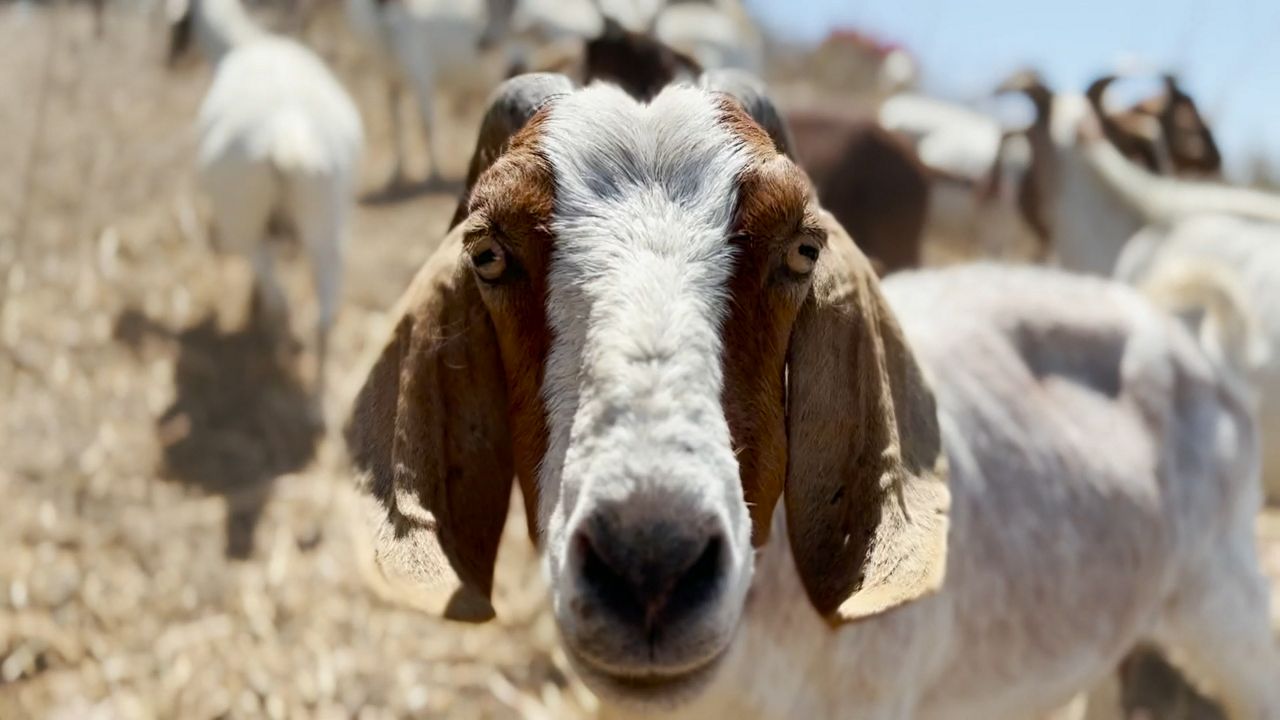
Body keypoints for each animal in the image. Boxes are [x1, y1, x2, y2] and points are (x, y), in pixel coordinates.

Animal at [168, 0, 363, 403]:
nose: (171, 60)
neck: (243, 43)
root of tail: (285, 141)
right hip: (328, 227)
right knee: (323, 314)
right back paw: (317, 400)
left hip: (243, 225)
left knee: (280, 300)